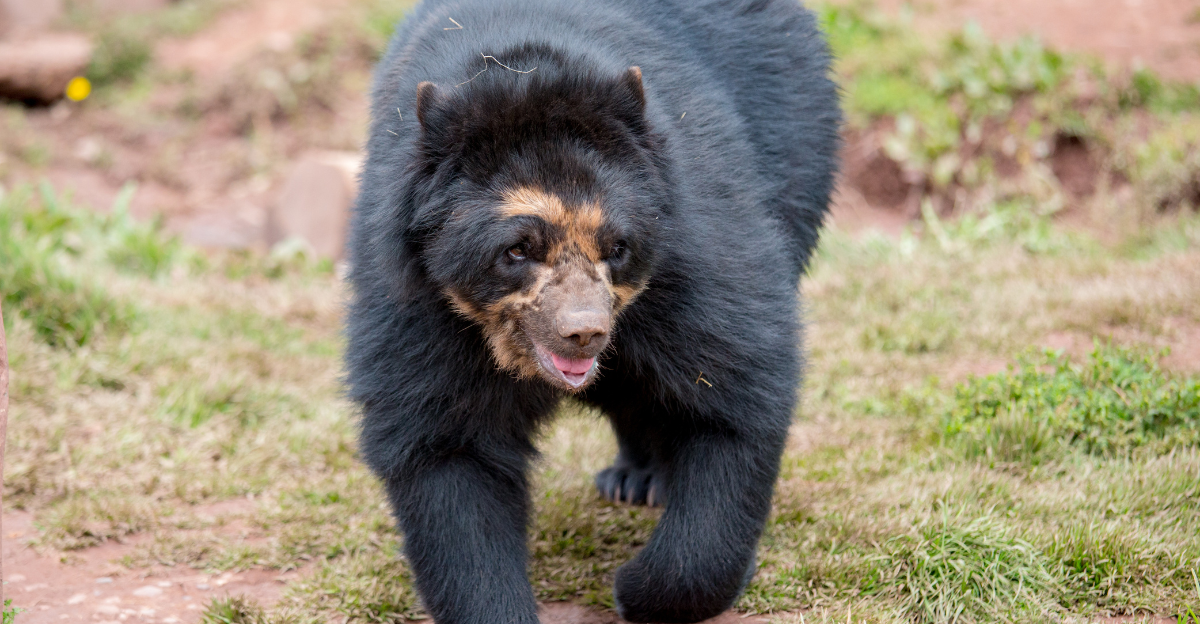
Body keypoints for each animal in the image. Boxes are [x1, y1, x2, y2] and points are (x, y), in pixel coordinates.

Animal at [343, 0, 841, 622]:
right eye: (516, 250)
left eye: (617, 246)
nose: (585, 333)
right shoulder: (416, 296)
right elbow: (444, 447)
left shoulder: (692, 243)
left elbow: (733, 391)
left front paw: (641, 588)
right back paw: (631, 478)